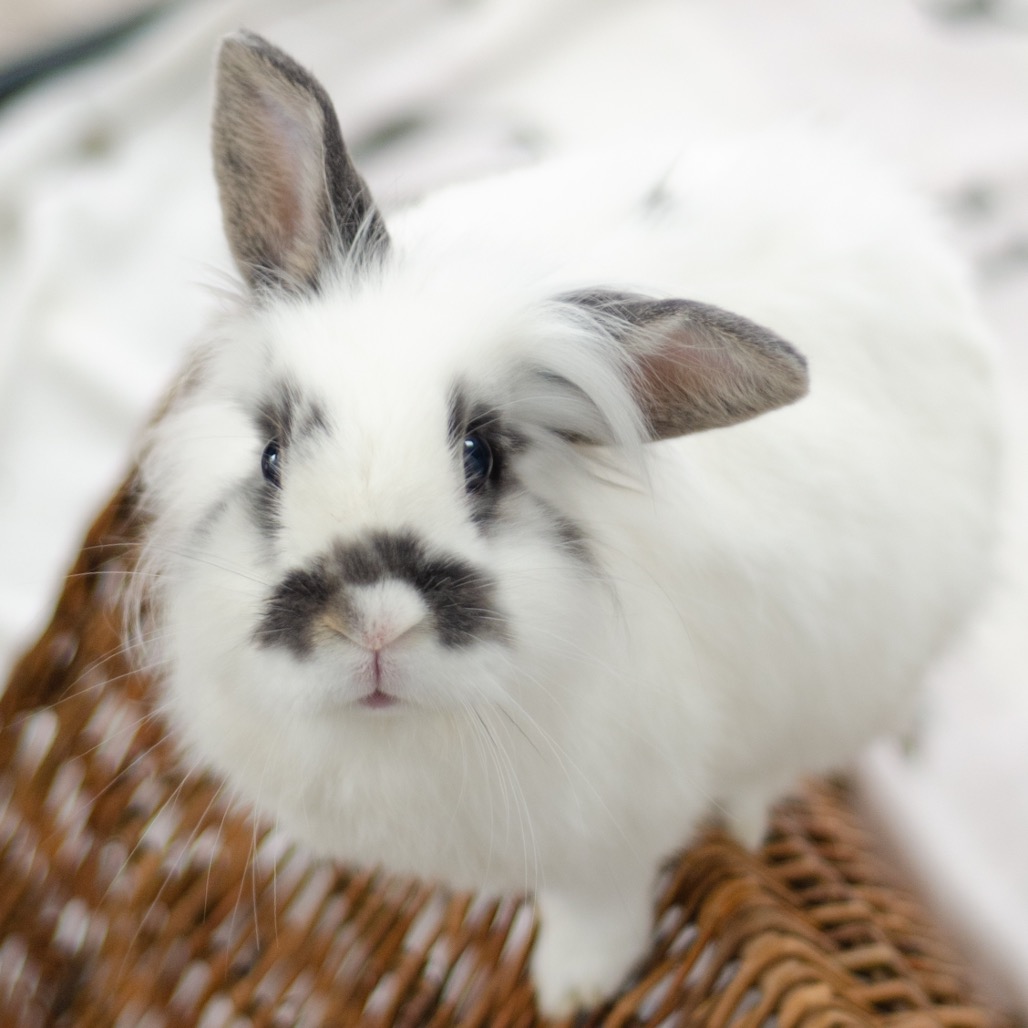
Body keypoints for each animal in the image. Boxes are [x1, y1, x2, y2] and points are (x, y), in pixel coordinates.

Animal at [131, 30, 1000, 1016]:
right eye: (272, 456)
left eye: (483, 460)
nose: (371, 623)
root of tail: (897, 220)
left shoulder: (615, 827)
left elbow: (599, 903)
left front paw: (574, 988)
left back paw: (745, 820)